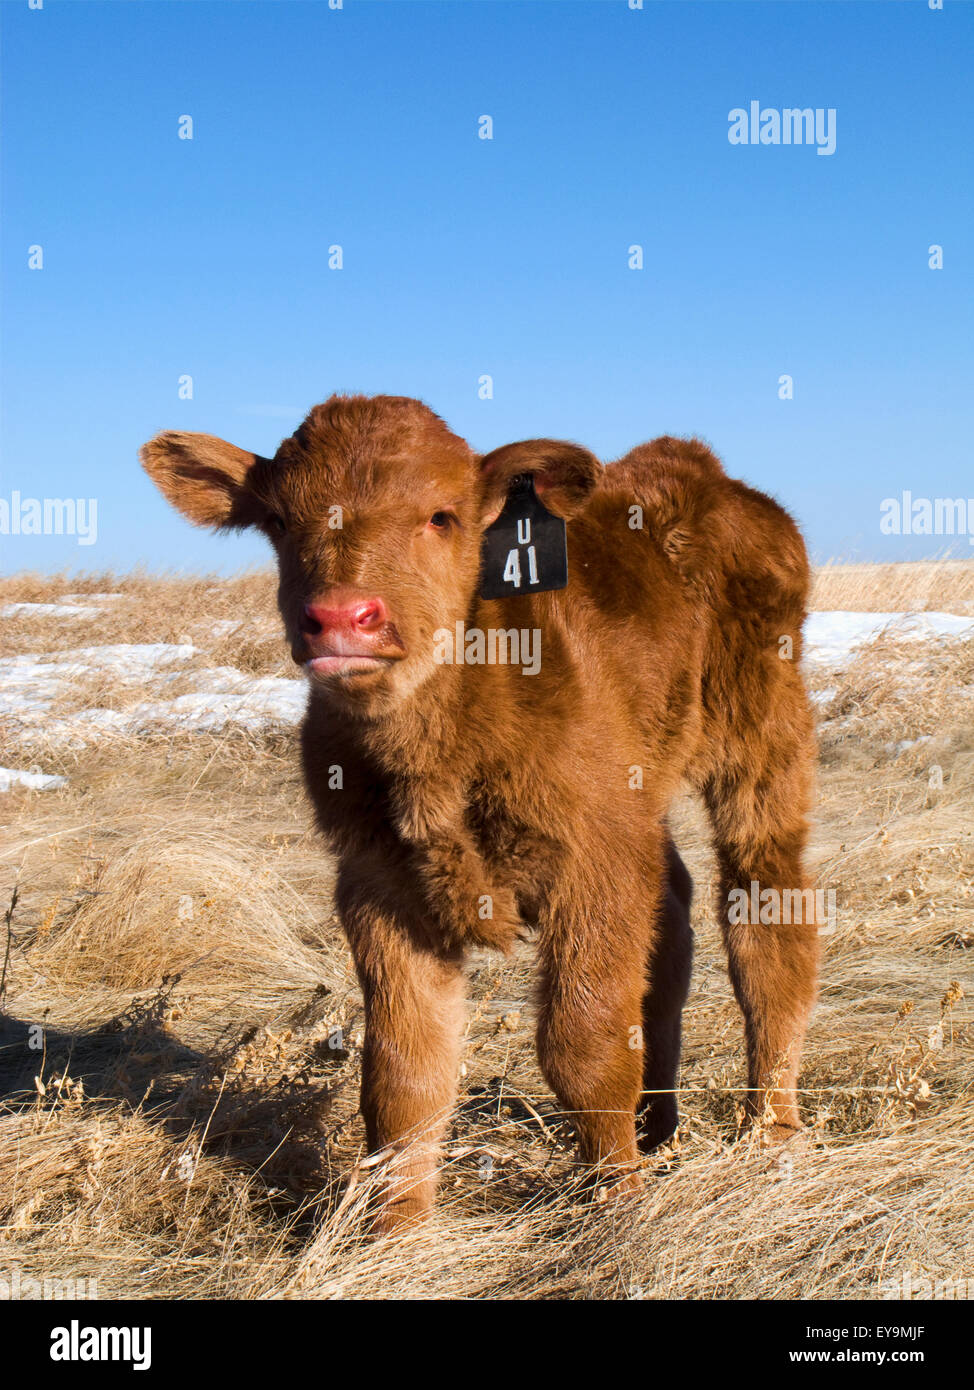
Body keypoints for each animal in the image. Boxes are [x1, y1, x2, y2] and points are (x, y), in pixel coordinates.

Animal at [141, 393, 820, 1232]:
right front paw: (392, 1234)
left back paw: (771, 1130)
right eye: (277, 520)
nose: (341, 618)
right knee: (672, 917)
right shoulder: (380, 886)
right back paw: (656, 1128)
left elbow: (584, 1045)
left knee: (768, 914)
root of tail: (698, 469)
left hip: (761, 735)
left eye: (442, 516)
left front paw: (616, 1204)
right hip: (642, 795)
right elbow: (404, 1075)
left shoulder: (591, 862)